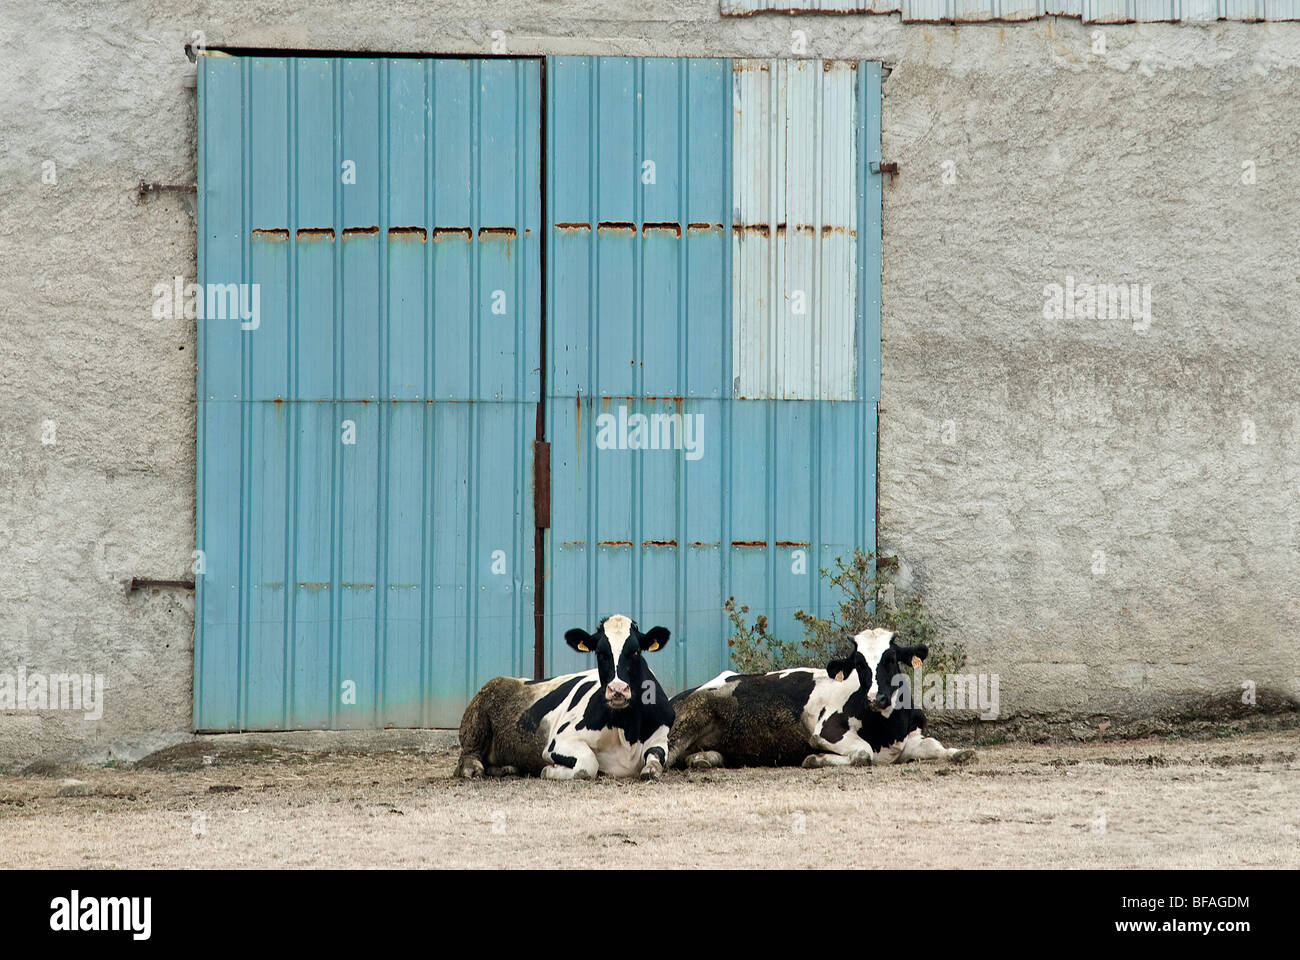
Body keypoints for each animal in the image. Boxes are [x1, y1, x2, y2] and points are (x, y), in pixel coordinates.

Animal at [454, 615, 674, 781]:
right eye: (600, 653)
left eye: (636, 651)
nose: (617, 689)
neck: (626, 727)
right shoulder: (560, 740)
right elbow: (587, 765)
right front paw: (548, 770)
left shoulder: (660, 737)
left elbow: (655, 762)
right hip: (478, 714)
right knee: (468, 756)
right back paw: (473, 768)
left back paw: (508, 768)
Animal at [666, 628, 975, 769]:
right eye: (859, 663)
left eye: (890, 659)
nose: (876, 697)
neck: (886, 729)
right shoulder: (828, 731)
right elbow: (863, 753)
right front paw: (815, 759)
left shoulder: (910, 736)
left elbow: (935, 746)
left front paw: (960, 752)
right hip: (693, 714)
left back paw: (703, 759)